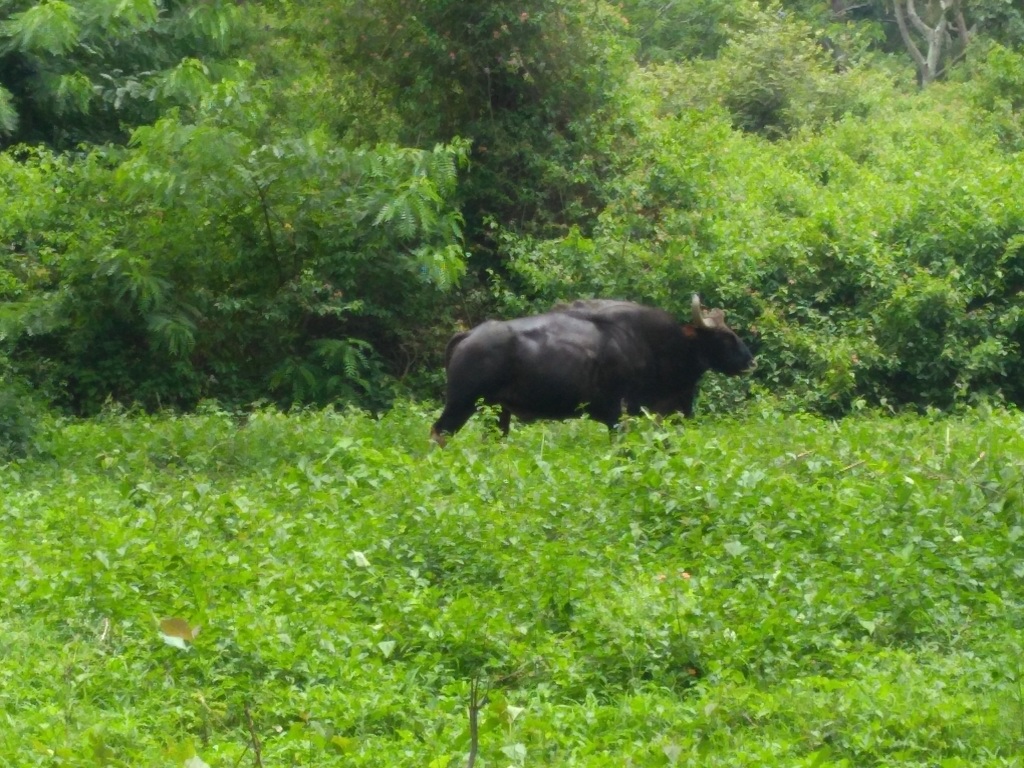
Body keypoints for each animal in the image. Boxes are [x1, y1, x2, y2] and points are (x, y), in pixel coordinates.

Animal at [430, 295, 755, 444]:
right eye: (724, 336)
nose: (750, 361)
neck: (655, 345)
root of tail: (467, 336)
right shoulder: (618, 417)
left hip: (497, 412)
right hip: (461, 404)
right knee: (438, 433)